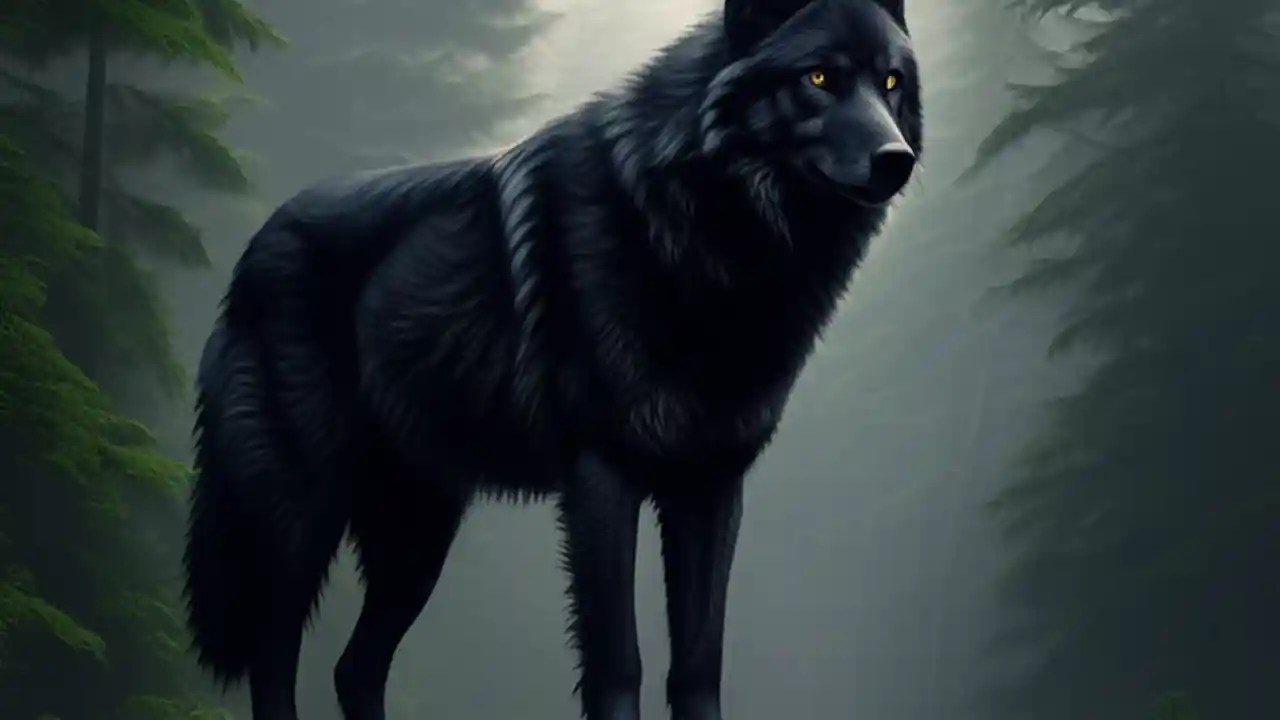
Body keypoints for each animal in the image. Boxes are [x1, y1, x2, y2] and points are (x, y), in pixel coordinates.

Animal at [183, 0, 921, 718]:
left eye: (891, 82)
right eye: (819, 77)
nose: (899, 158)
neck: (704, 234)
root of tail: (249, 257)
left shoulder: (711, 487)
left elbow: (697, 668)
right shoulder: (603, 477)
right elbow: (618, 666)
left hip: (418, 537)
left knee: (354, 668)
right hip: (300, 519)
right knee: (273, 658)